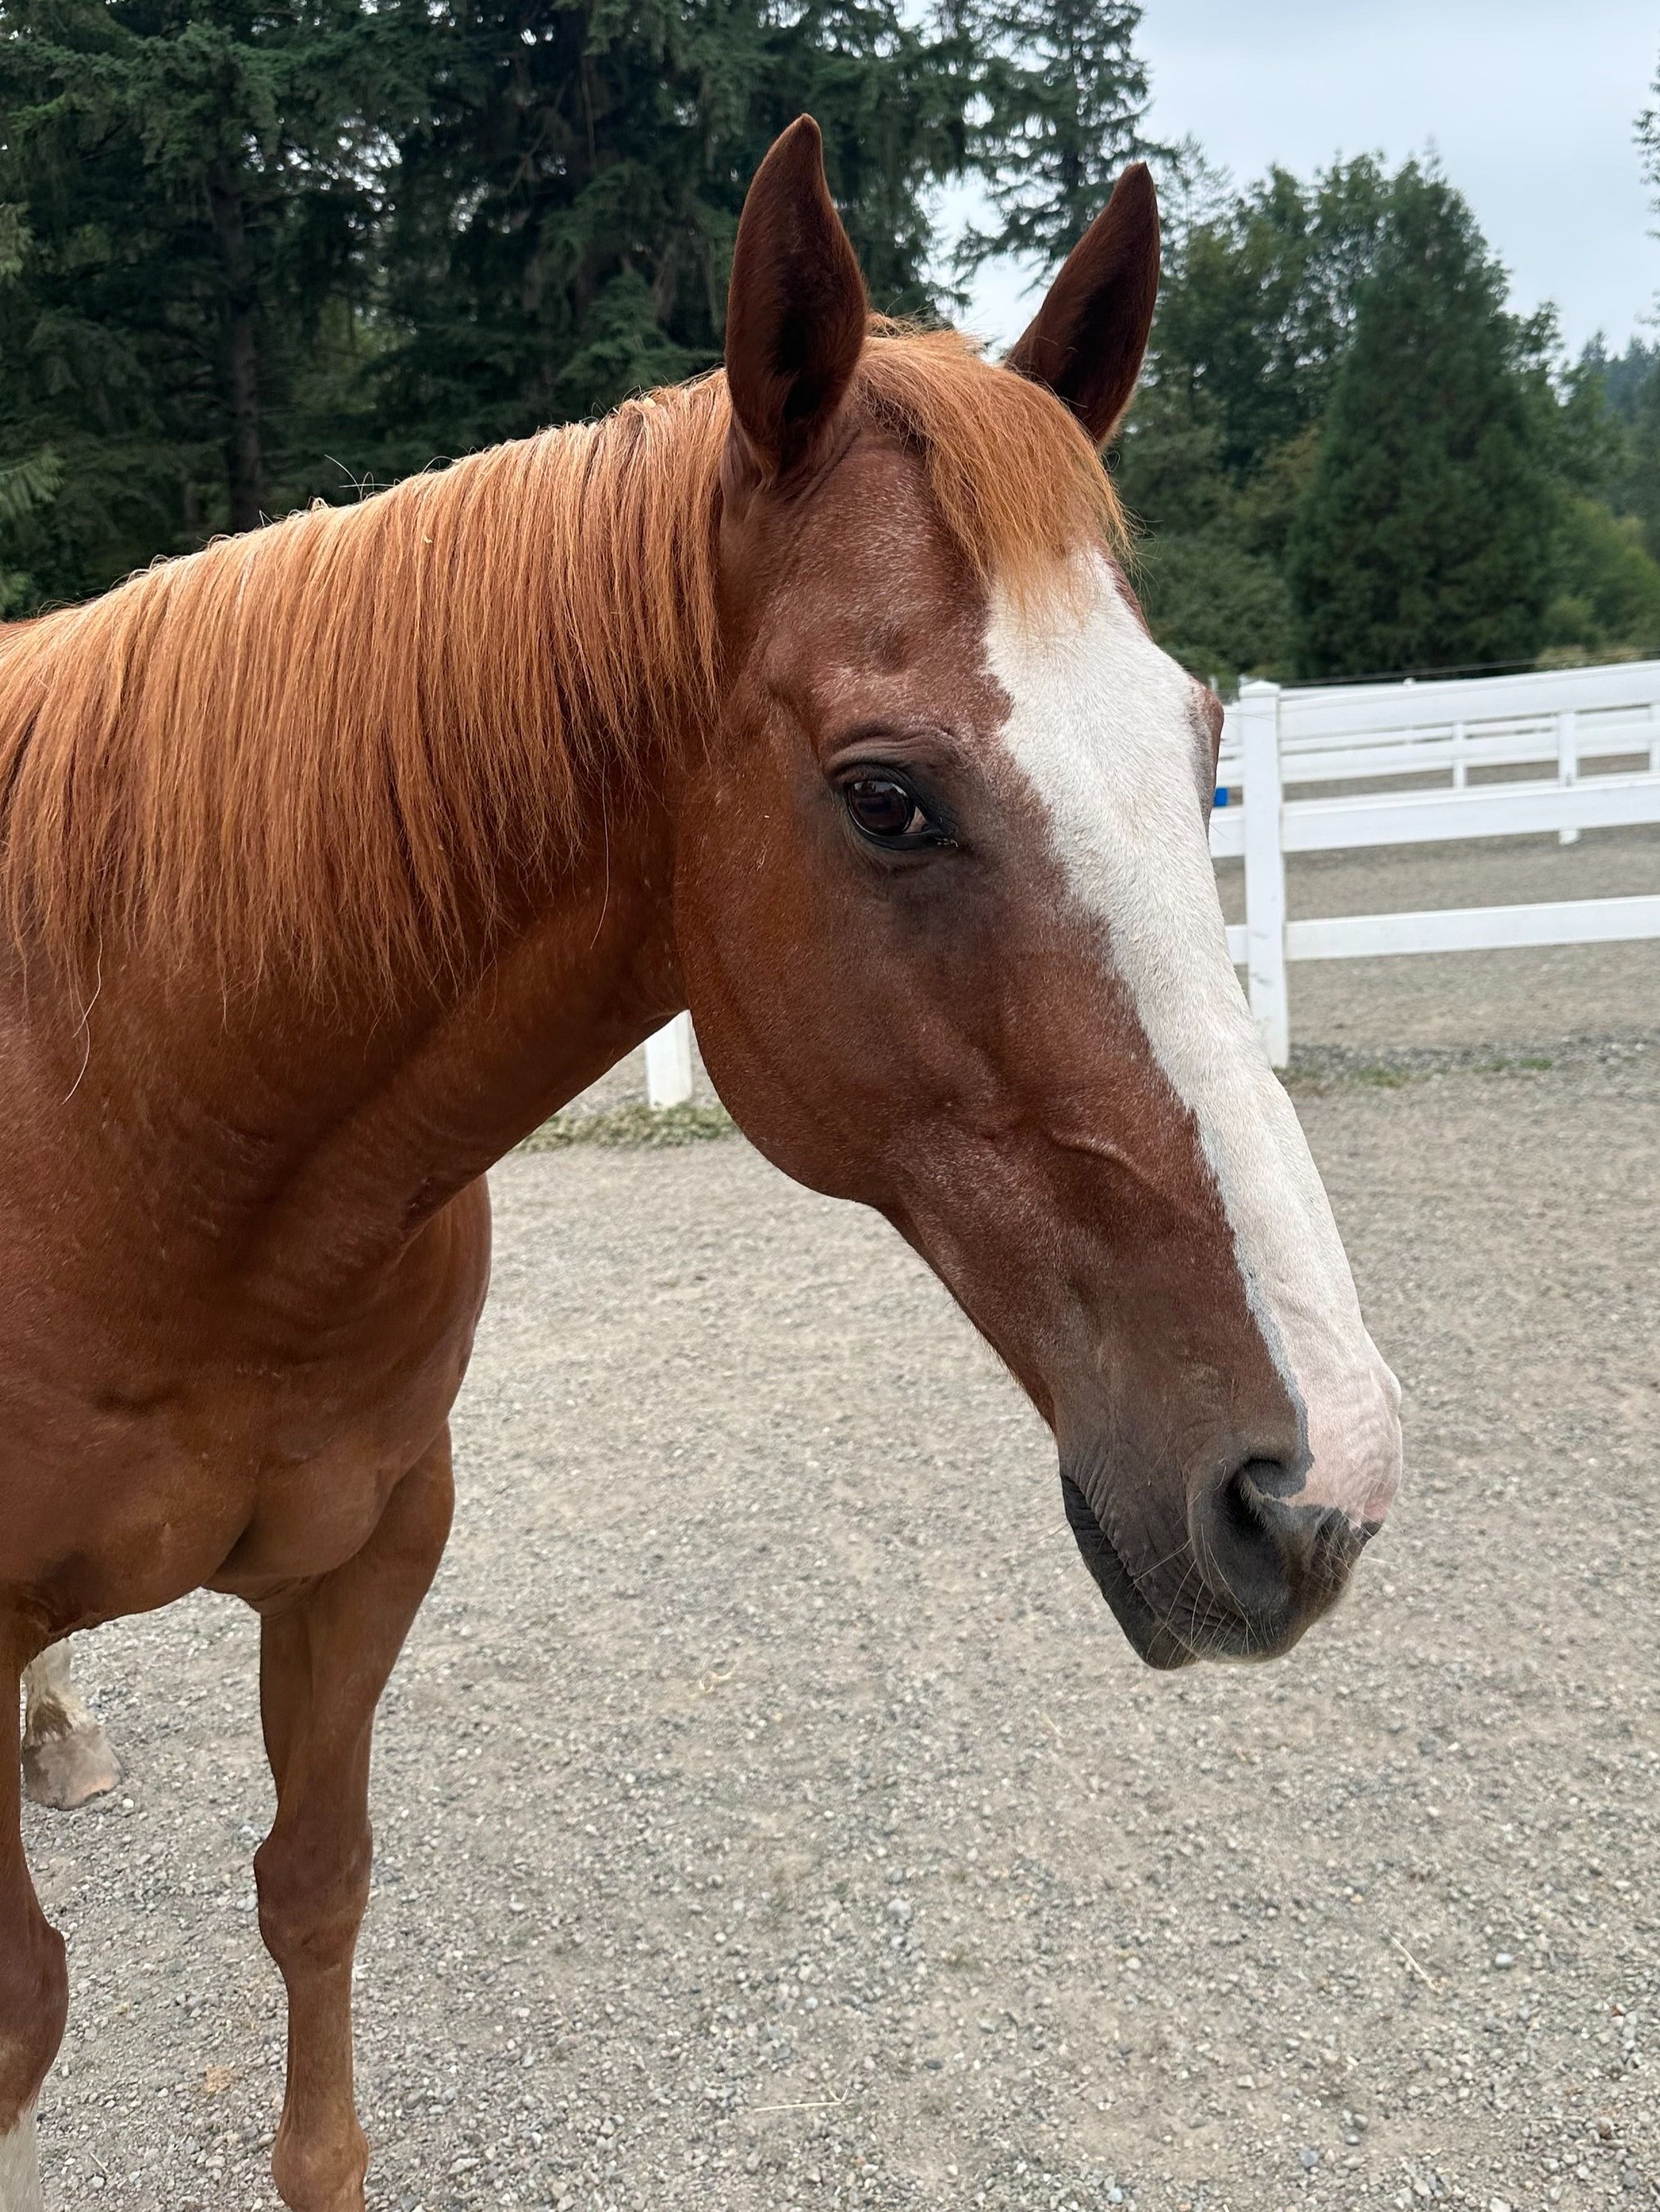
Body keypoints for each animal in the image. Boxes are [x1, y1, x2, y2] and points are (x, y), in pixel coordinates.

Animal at [0, 119, 1401, 2212]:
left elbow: (315, 1893)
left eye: (1198, 740)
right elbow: (29, 2006)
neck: (151, 1130)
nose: (1321, 1486)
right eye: (886, 797)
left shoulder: (364, 1561)